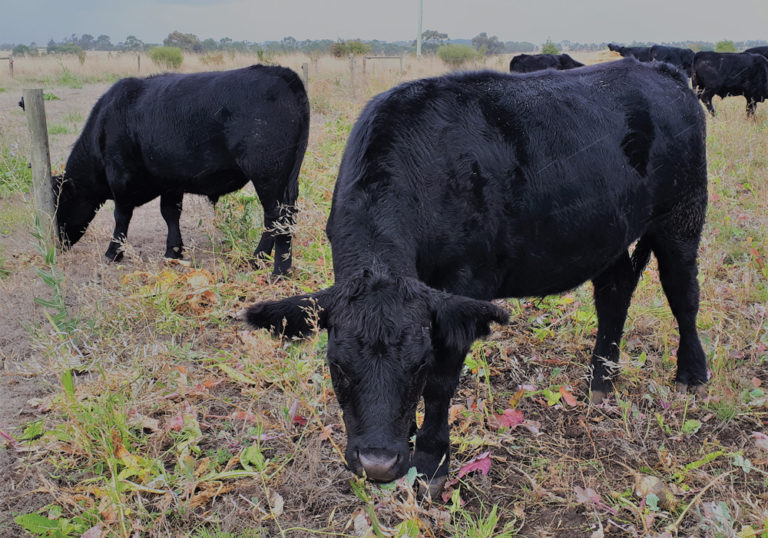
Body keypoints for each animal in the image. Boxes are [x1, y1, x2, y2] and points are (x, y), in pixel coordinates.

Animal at [54, 65, 310, 274]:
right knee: (283, 217)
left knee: (276, 217)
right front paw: (173, 252)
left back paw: (271, 267)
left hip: (267, 174)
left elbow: (121, 217)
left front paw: (113, 253)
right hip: (287, 179)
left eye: (59, 203)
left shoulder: (121, 178)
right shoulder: (170, 181)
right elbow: (170, 213)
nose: (59, 244)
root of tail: (281, 72)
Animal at [245, 59, 708, 493]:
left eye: (418, 363)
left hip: (683, 213)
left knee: (682, 292)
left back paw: (691, 375)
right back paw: (601, 381)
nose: (378, 463)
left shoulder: (465, 287)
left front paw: (430, 461)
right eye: (336, 365)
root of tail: (660, 70)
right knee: (614, 292)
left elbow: (441, 383)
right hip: (608, 228)